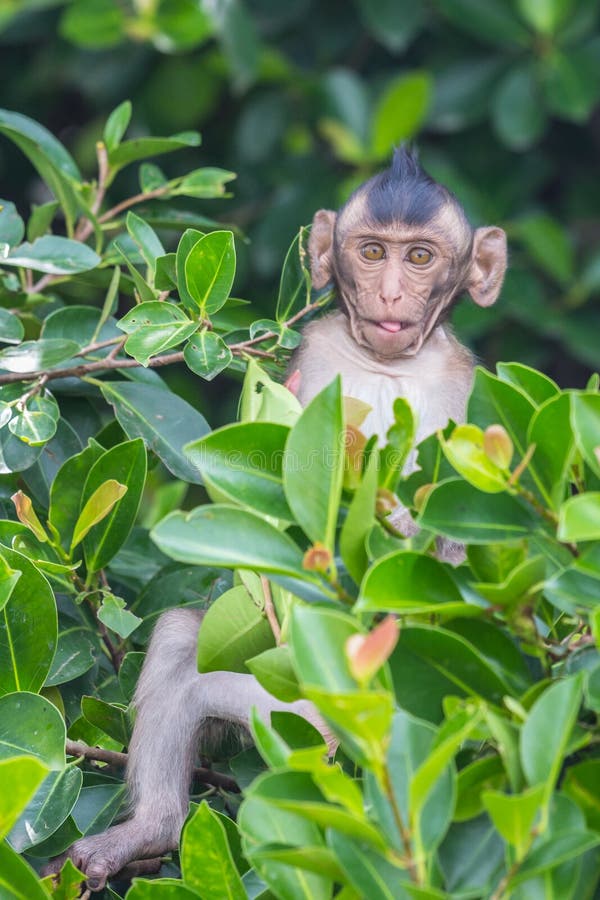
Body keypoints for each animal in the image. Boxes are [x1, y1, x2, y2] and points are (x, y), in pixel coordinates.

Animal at [44, 148, 506, 891]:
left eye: (420, 257)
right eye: (372, 252)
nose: (390, 296)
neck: (385, 364)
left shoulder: (469, 397)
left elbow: (464, 541)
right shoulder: (309, 361)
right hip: (274, 705)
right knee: (183, 643)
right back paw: (147, 832)